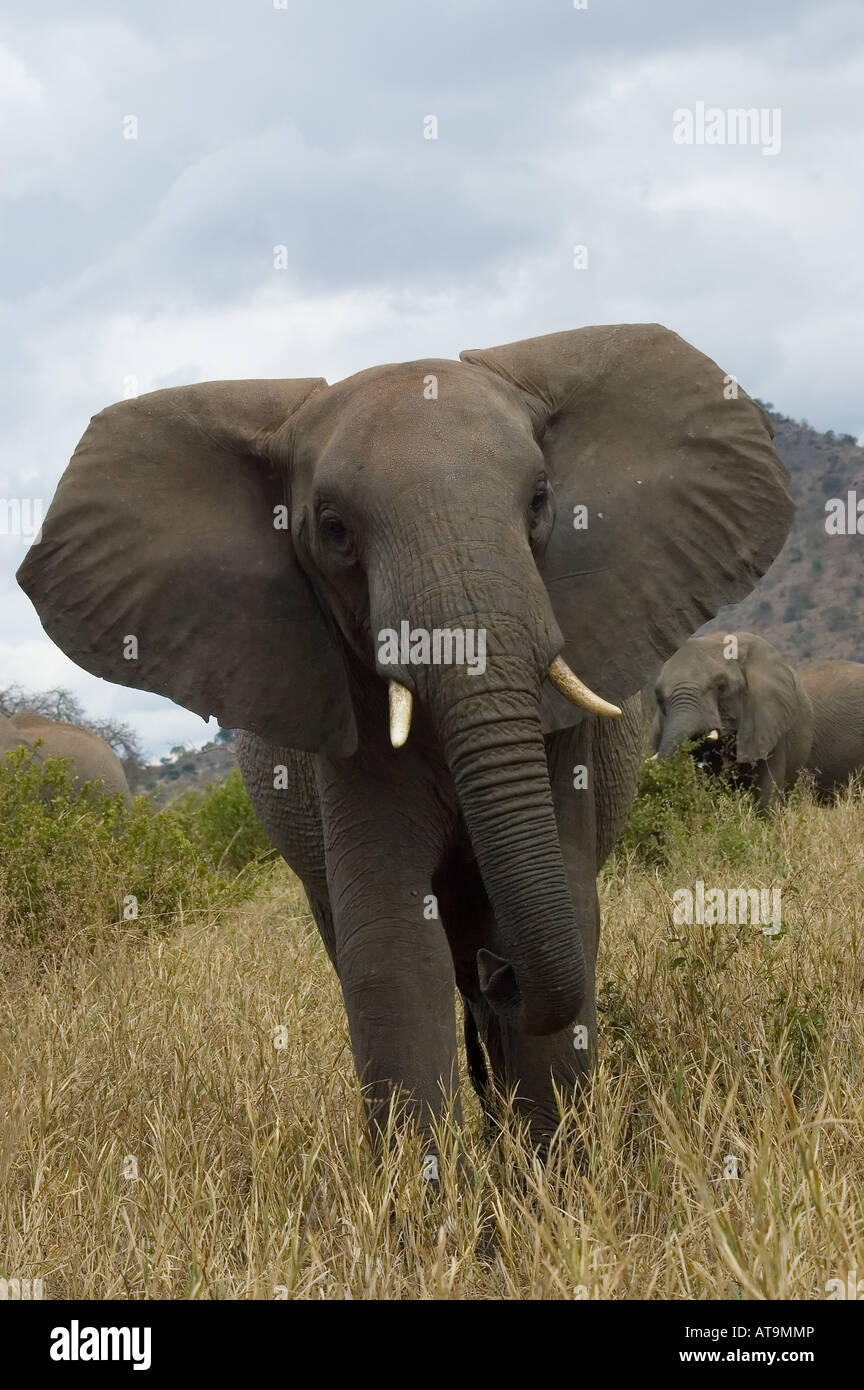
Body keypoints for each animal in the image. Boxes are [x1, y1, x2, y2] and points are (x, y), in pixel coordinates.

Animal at [17, 324, 792, 1151]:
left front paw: (551, 1176)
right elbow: (392, 949)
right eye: (334, 531)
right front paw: (423, 1184)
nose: (498, 972)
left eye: (540, 500)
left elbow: (572, 918)